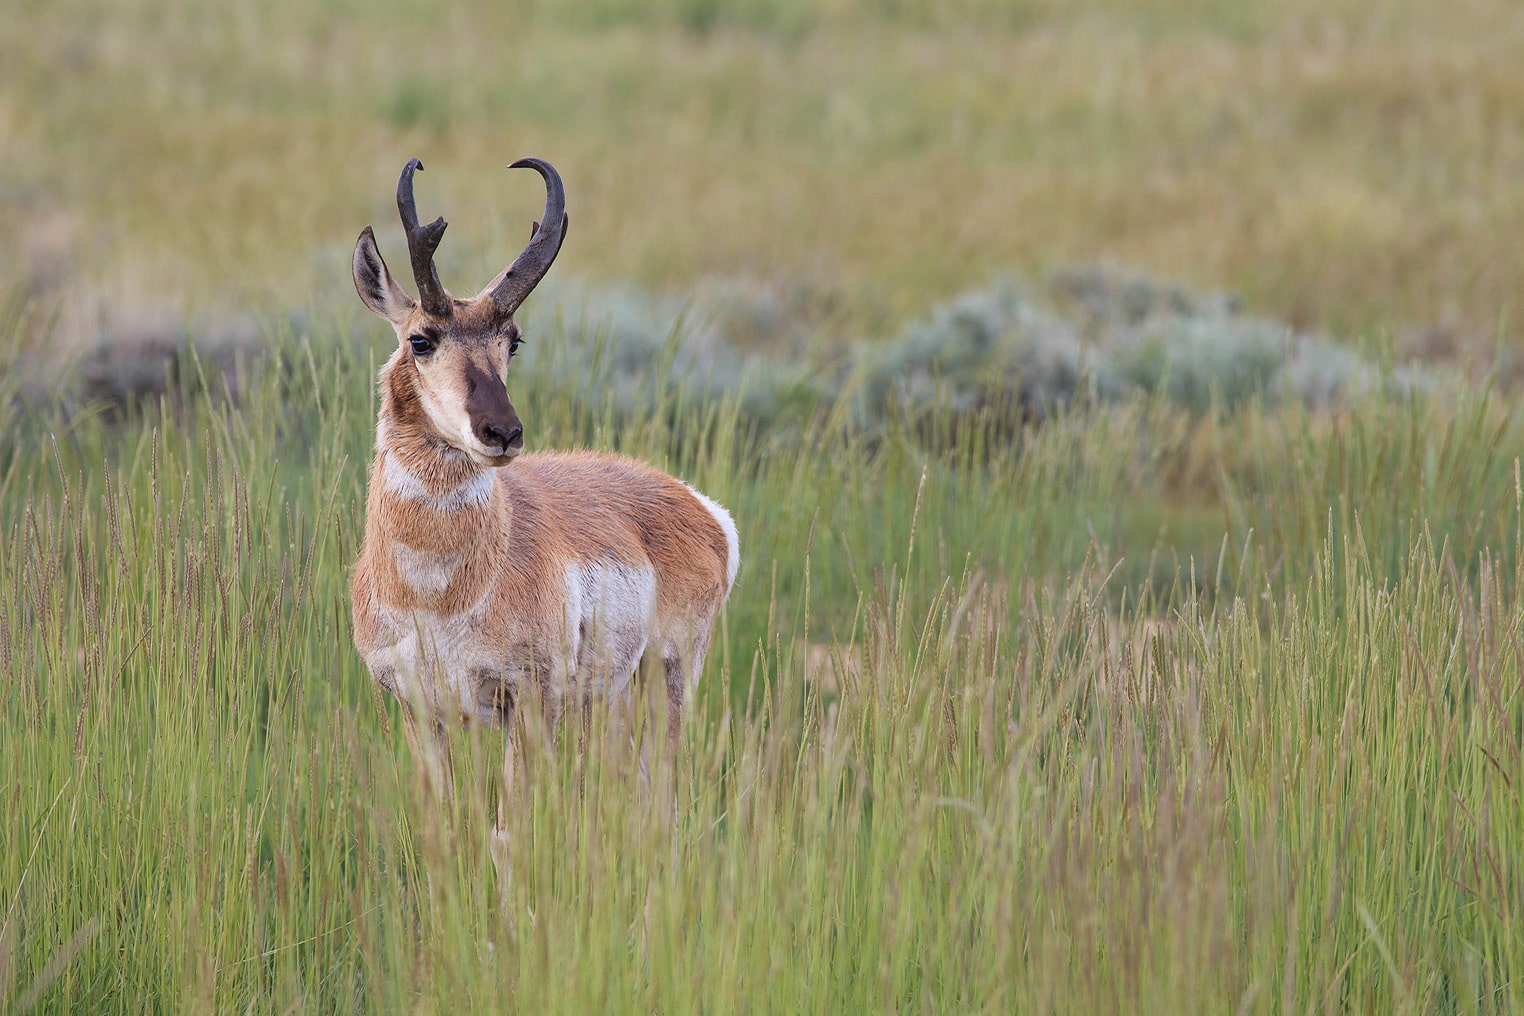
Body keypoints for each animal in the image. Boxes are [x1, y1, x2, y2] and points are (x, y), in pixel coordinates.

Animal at [349, 157, 740, 840]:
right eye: (421, 339)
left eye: (514, 339)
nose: (503, 432)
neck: (440, 593)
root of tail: (696, 505)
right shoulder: (419, 713)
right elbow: (442, 827)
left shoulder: (526, 705)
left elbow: (507, 834)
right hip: (611, 700)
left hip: (667, 677)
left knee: (661, 793)